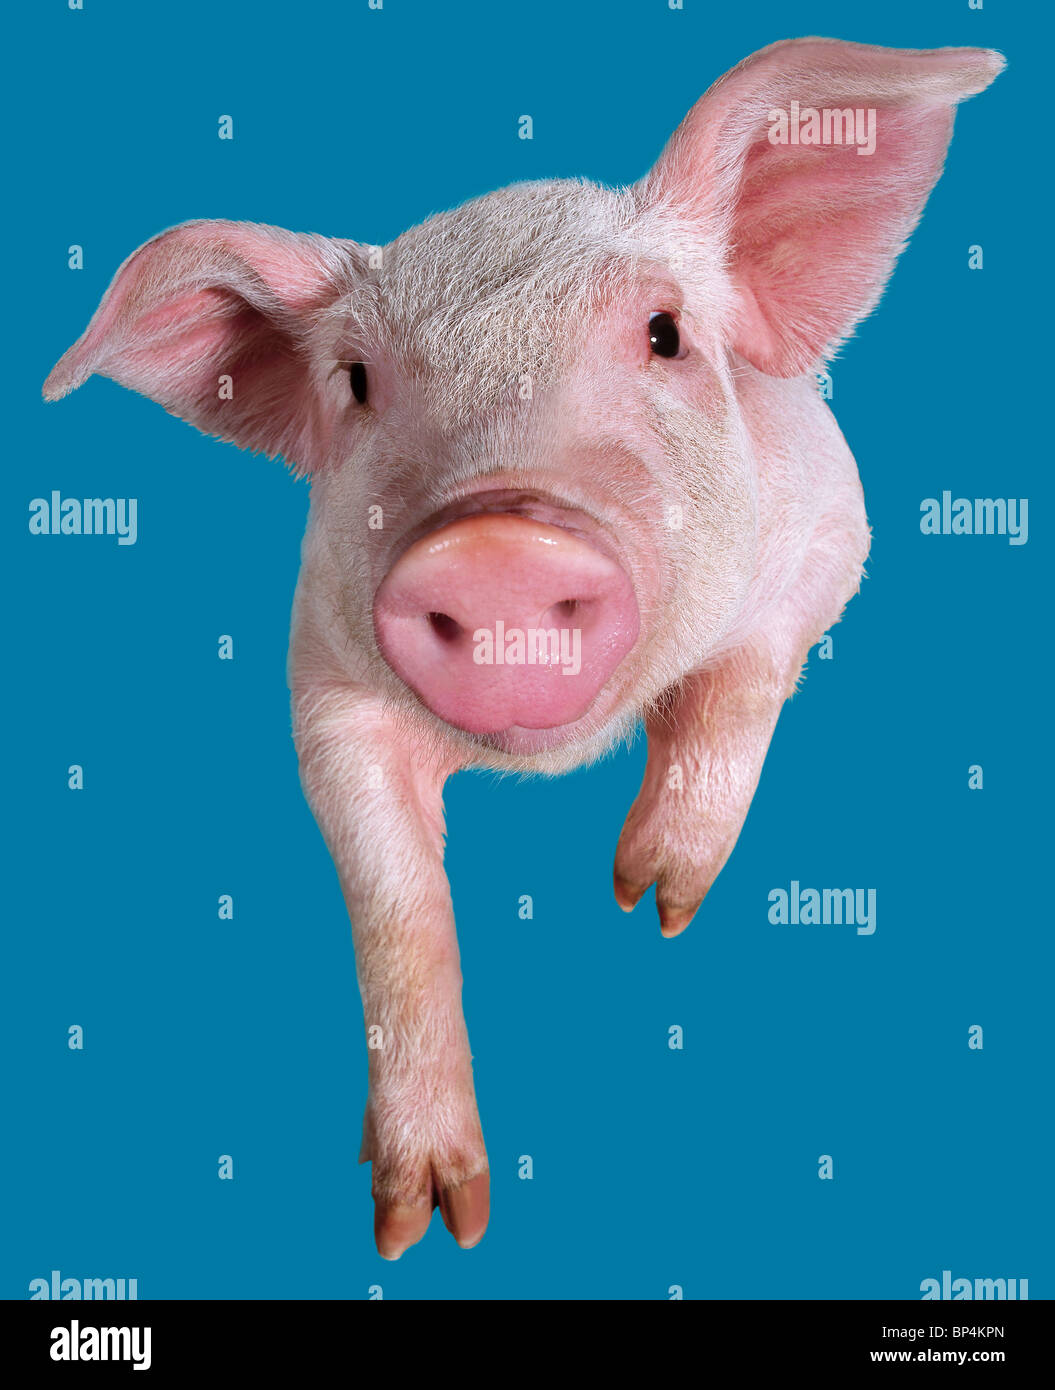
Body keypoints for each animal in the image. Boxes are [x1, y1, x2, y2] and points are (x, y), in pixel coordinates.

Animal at [43, 37, 1003, 1259]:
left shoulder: (831, 531)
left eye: (663, 333)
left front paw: (649, 902)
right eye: (355, 382)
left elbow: (743, 681)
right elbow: (394, 899)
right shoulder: (323, 678)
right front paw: (430, 1227)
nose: (492, 540)